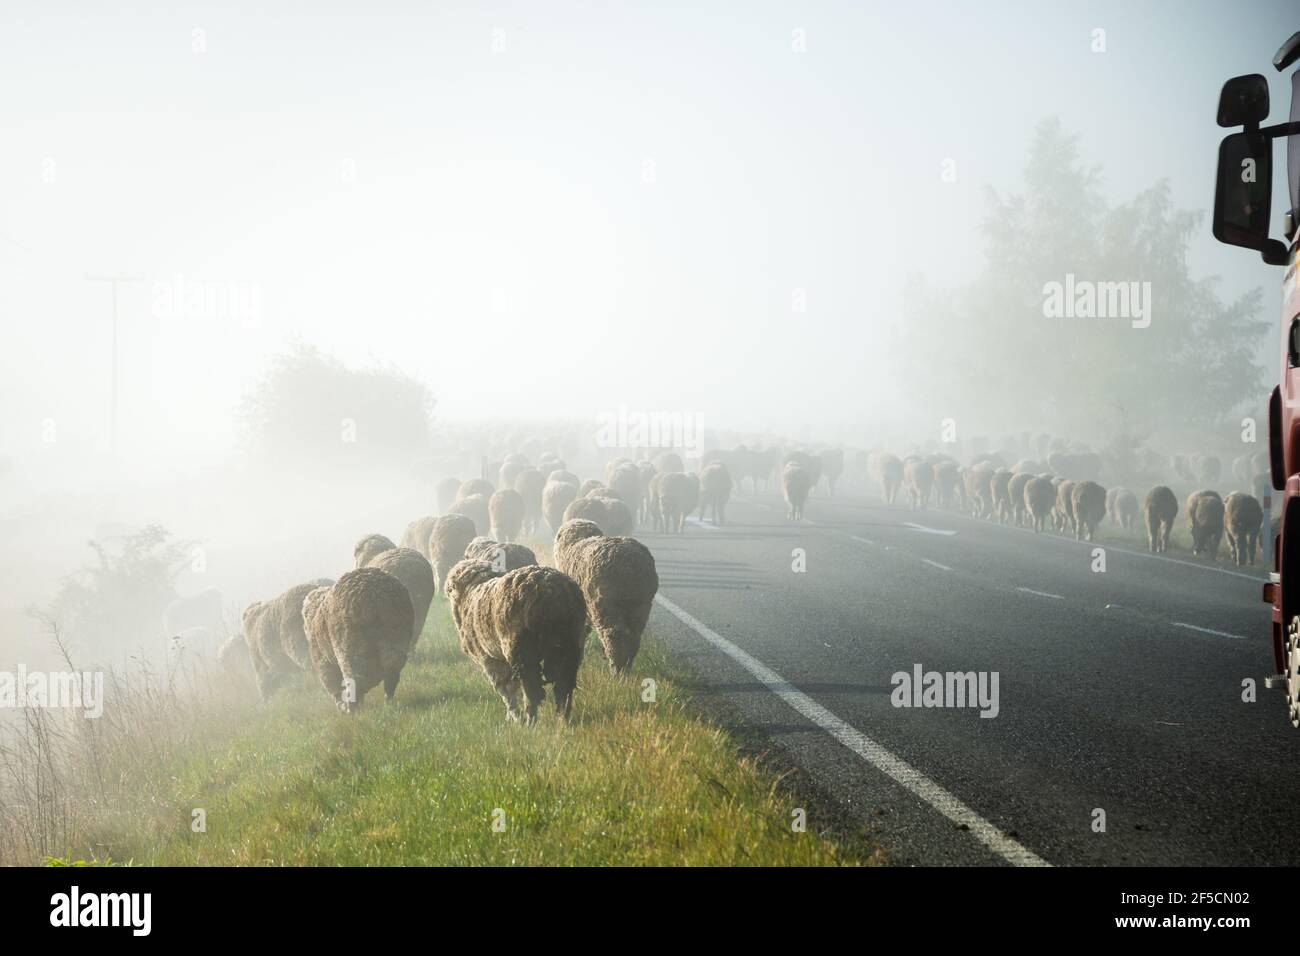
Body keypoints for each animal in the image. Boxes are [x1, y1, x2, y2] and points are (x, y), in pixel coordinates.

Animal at [302, 568, 414, 713]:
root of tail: (376, 597)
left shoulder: (322, 659)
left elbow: (331, 683)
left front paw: (342, 704)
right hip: (396, 634)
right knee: (392, 665)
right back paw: (387, 699)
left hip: (349, 645)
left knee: (355, 676)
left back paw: (352, 707)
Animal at [444, 560, 588, 723]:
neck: (471, 592)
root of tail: (551, 592)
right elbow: (511, 688)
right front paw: (512, 717)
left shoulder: (489, 660)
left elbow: (506, 690)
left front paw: (514, 717)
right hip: (570, 643)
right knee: (564, 685)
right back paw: (563, 719)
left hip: (521, 650)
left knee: (532, 690)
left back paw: (530, 720)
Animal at [554, 518, 659, 675]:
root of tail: (628, 565)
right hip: (641, 607)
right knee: (633, 638)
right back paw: (625, 667)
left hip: (605, 605)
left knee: (614, 636)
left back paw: (617, 670)